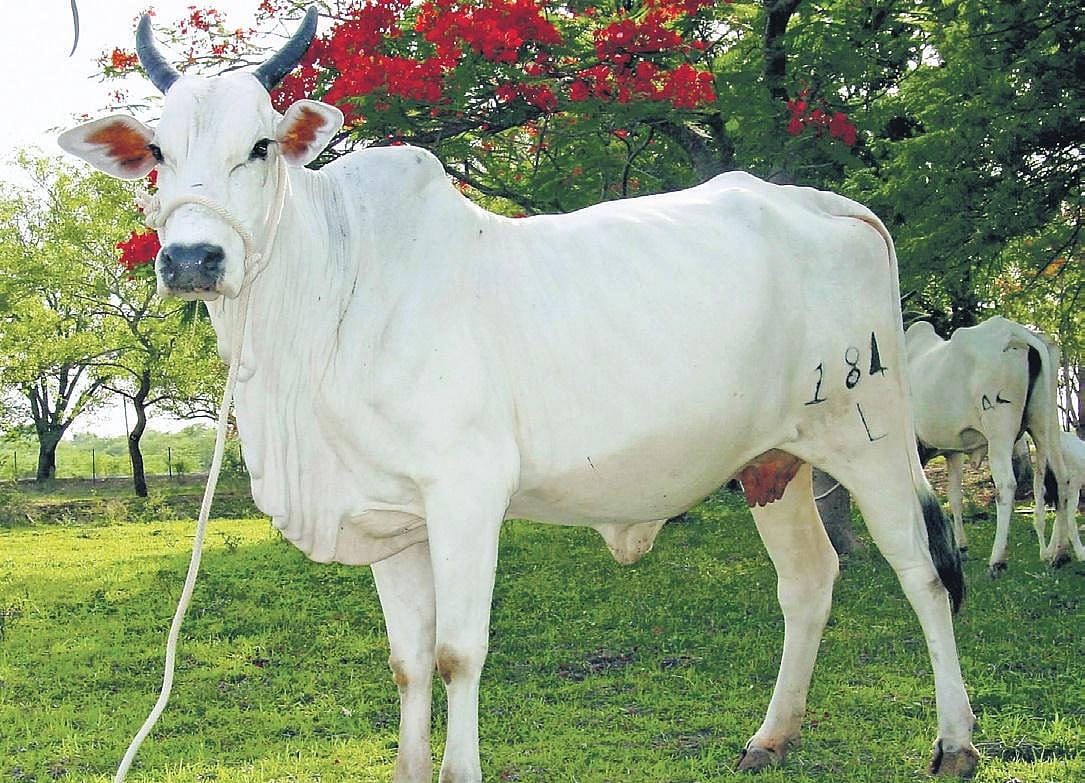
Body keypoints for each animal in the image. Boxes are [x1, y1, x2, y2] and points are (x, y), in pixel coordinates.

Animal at [59, 9, 979, 781]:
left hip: (867, 436)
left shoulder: (465, 495)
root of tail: (827, 204)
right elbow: (407, 659)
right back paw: (771, 735)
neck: (328, 299)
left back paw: (954, 742)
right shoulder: (390, 518)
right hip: (772, 460)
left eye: (257, 147)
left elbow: (458, 652)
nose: (192, 260)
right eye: (158, 156)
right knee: (809, 581)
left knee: (921, 573)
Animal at [905, 317, 1072, 574]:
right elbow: (954, 496)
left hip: (999, 432)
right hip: (1046, 425)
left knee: (1006, 486)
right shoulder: (952, 451)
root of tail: (1017, 332)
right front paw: (961, 547)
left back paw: (997, 561)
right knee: (1062, 479)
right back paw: (1059, 554)